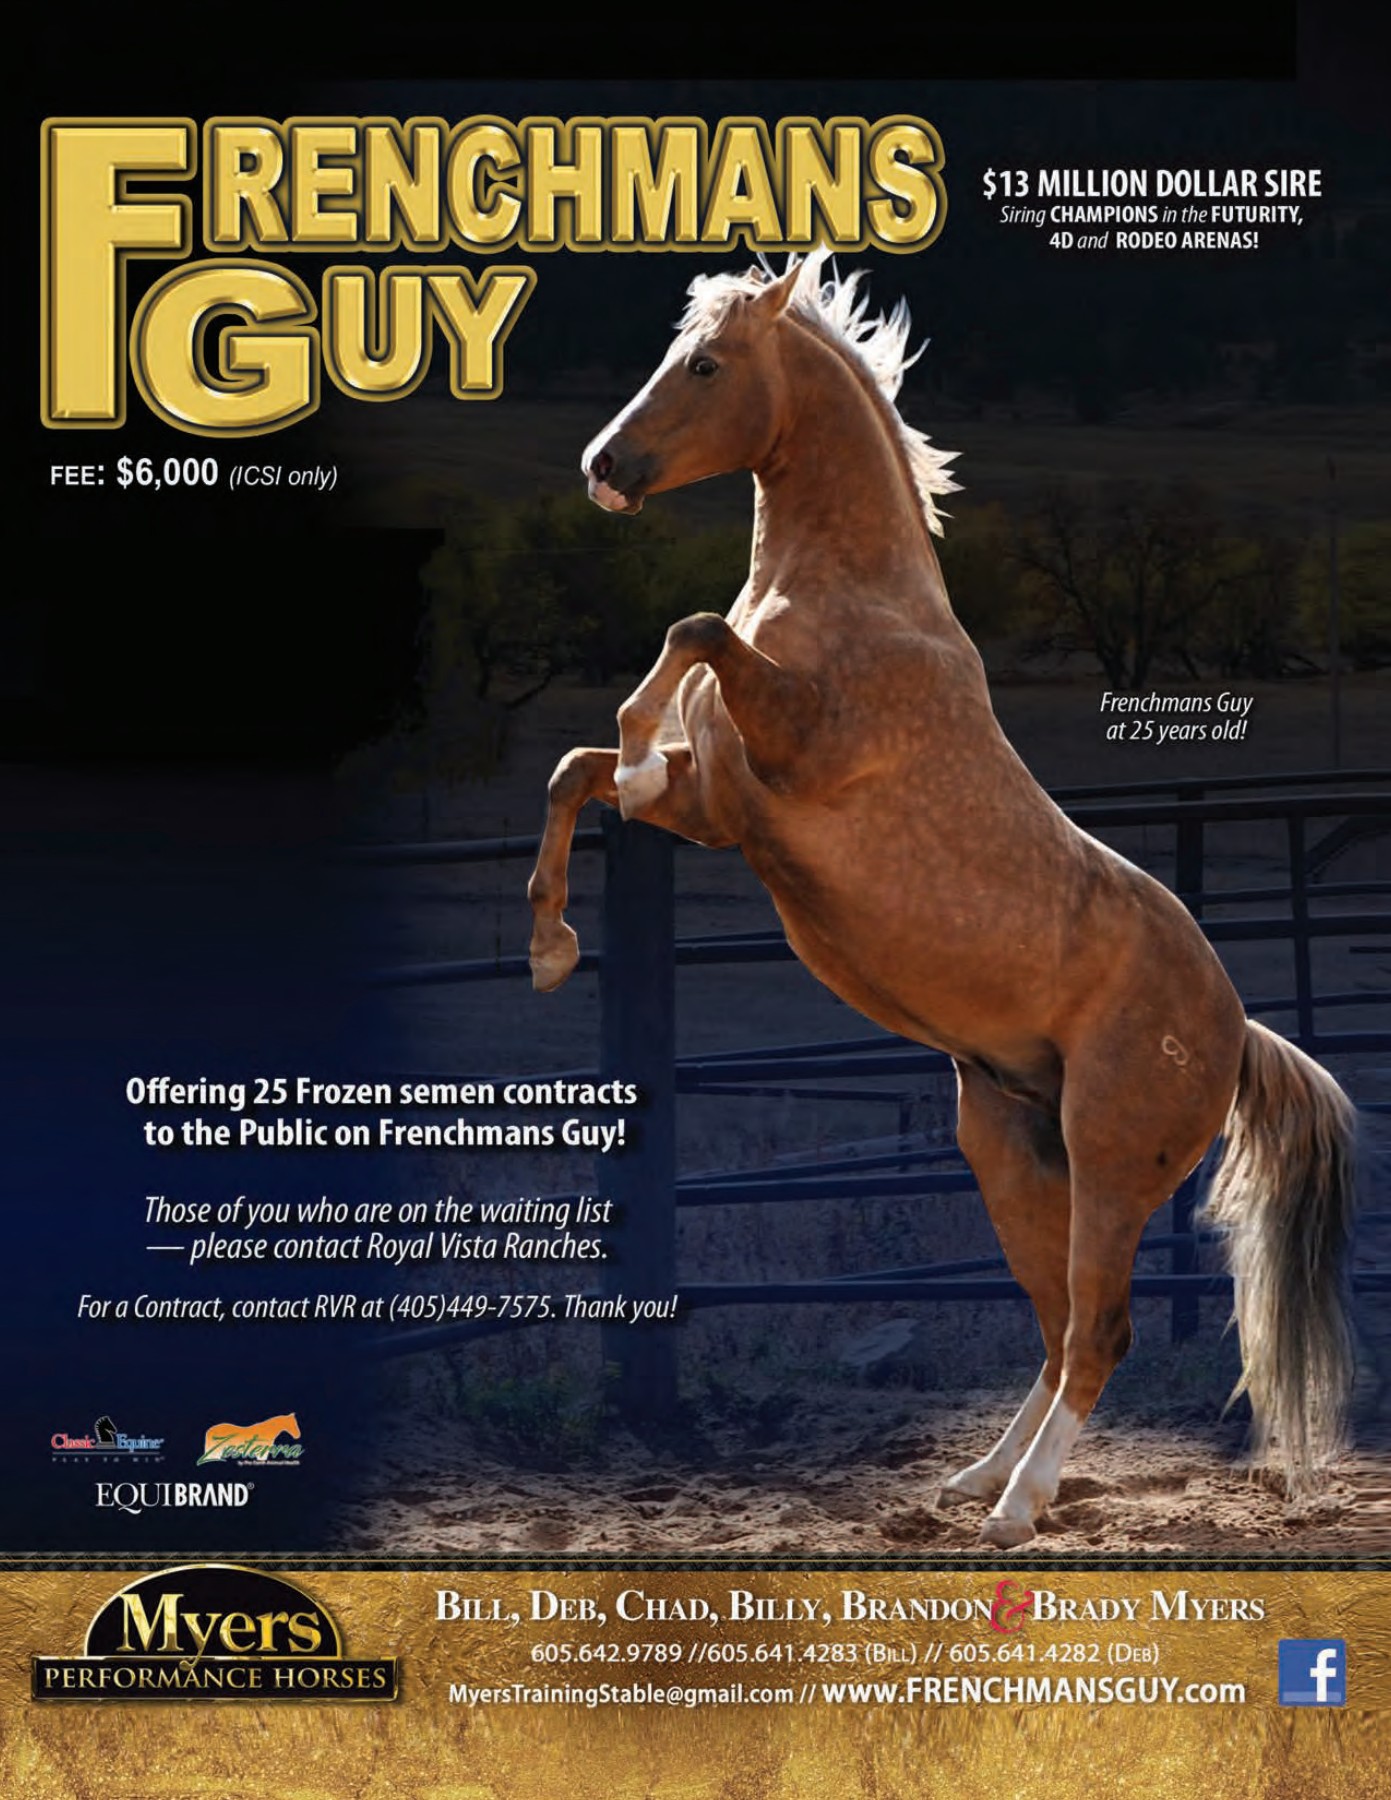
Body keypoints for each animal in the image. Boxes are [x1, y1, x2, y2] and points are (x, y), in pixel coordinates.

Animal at [525, 252, 1356, 1547]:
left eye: (704, 365)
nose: (602, 470)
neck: (853, 601)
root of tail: (1232, 1029)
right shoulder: (720, 810)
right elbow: (583, 768)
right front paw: (552, 945)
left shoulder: (794, 751)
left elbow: (688, 630)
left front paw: (636, 737)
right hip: (1006, 1146)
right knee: (1056, 1328)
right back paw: (975, 1479)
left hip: (1109, 1162)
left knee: (1097, 1329)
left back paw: (1016, 1507)